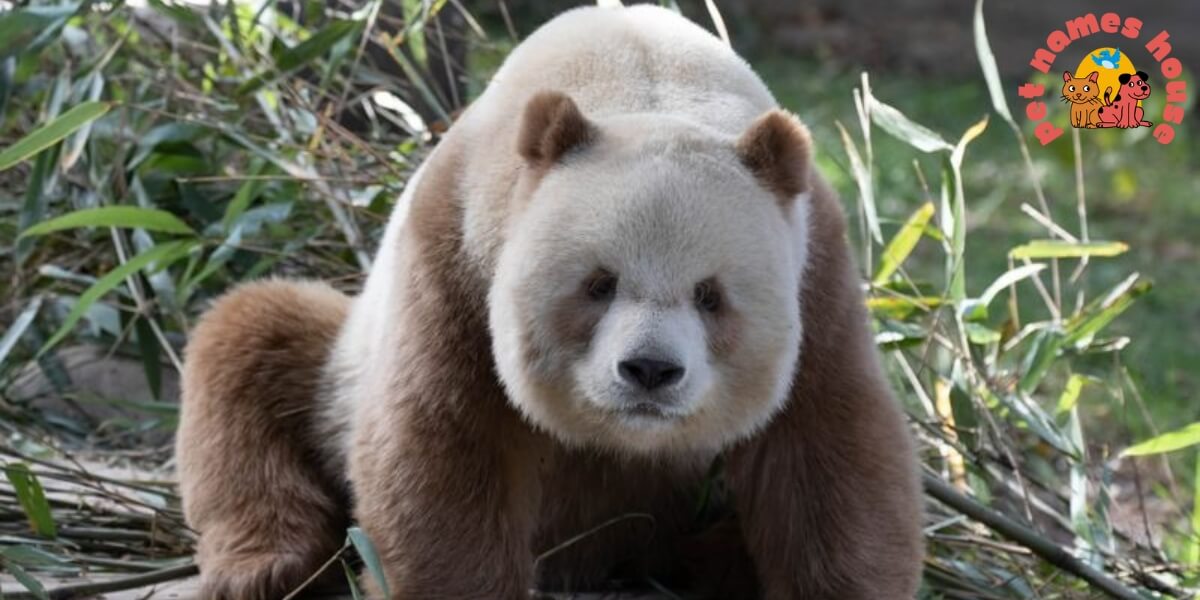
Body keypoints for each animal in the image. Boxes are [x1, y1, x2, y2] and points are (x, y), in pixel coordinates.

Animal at [175, 4, 924, 599]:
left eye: (710, 297)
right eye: (599, 283)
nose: (649, 371)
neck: (642, 77)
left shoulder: (817, 268)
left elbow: (831, 453)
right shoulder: (457, 251)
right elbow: (442, 445)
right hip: (336, 366)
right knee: (253, 348)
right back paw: (266, 566)